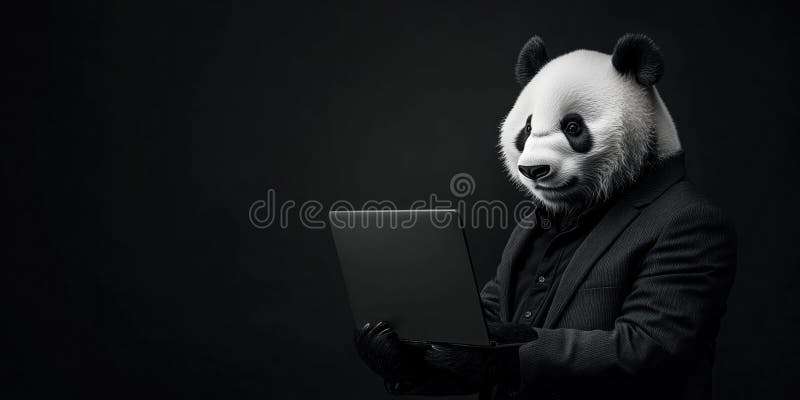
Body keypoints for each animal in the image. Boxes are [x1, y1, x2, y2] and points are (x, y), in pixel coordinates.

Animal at [353, 34, 736, 400]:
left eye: (573, 127)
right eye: (526, 129)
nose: (534, 170)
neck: (575, 209)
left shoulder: (688, 239)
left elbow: (640, 340)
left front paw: (482, 349)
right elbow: (488, 304)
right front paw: (387, 350)